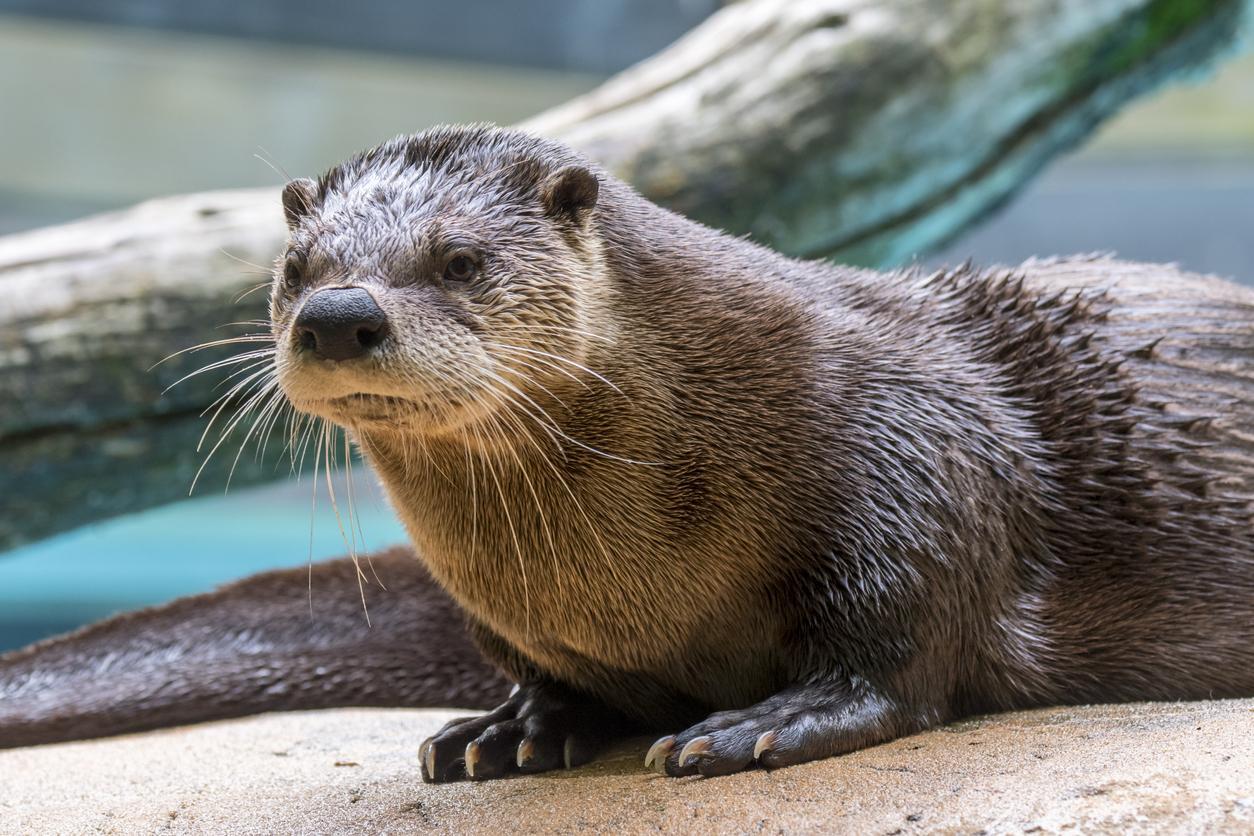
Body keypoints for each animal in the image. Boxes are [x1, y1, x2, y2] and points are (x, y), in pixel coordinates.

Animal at [2, 125, 1252, 780]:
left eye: (459, 259)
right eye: (298, 265)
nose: (339, 314)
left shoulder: (912, 456)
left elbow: (904, 640)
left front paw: (760, 723)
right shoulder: (516, 613)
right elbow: (548, 673)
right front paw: (511, 728)